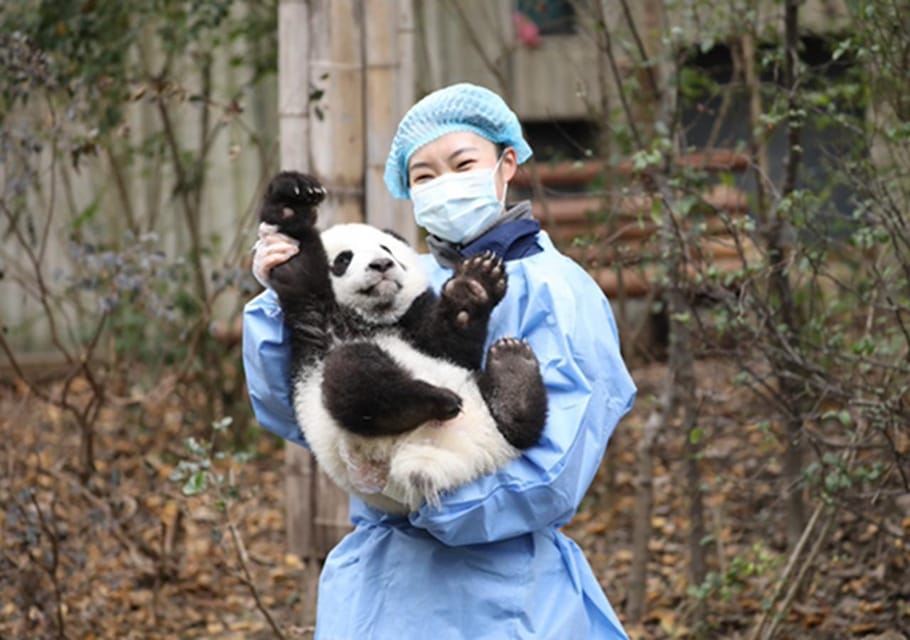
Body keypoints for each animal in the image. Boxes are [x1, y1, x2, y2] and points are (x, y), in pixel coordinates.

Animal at [260, 170, 547, 513]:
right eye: (344, 259)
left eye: (387, 248)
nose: (381, 265)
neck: (369, 319)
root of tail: (428, 459)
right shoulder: (314, 314)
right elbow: (297, 258)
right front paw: (294, 196)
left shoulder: (415, 325)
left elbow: (452, 345)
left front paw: (474, 287)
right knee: (356, 380)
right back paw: (438, 398)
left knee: (518, 429)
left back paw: (513, 372)